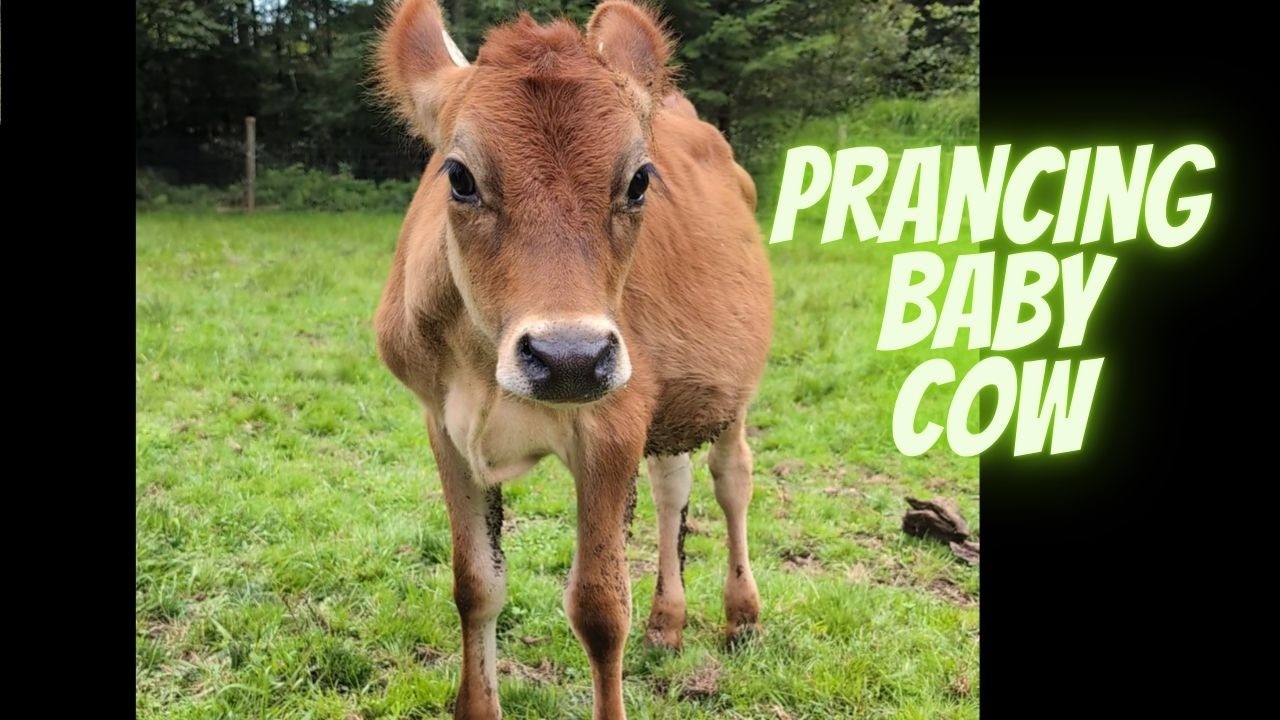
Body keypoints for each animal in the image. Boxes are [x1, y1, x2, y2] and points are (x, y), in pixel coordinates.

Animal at [373, 1, 773, 717]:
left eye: (640, 180)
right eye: (459, 176)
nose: (568, 358)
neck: (485, 366)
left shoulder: (613, 423)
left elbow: (599, 608)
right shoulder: (443, 425)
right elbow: (474, 586)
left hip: (732, 394)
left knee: (732, 480)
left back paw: (741, 616)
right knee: (673, 486)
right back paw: (668, 623)